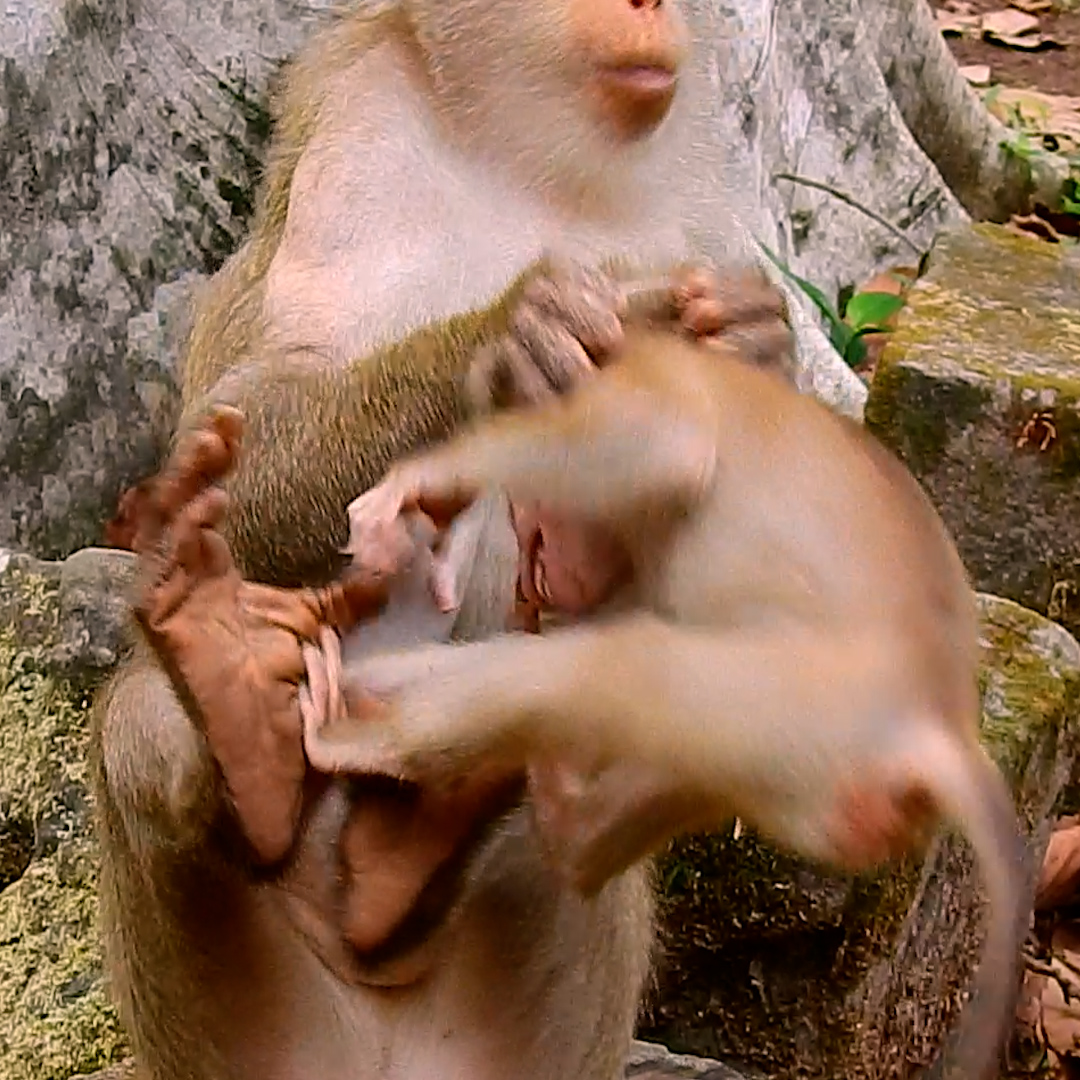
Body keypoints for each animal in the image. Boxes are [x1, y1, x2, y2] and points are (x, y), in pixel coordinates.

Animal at [280, 326, 1028, 1080]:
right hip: (800, 752)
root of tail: (935, 724)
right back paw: (564, 827)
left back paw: (370, 741)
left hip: (795, 698)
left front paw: (425, 485)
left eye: (537, 515)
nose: (538, 564)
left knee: (605, 667)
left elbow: (664, 449)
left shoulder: (650, 387)